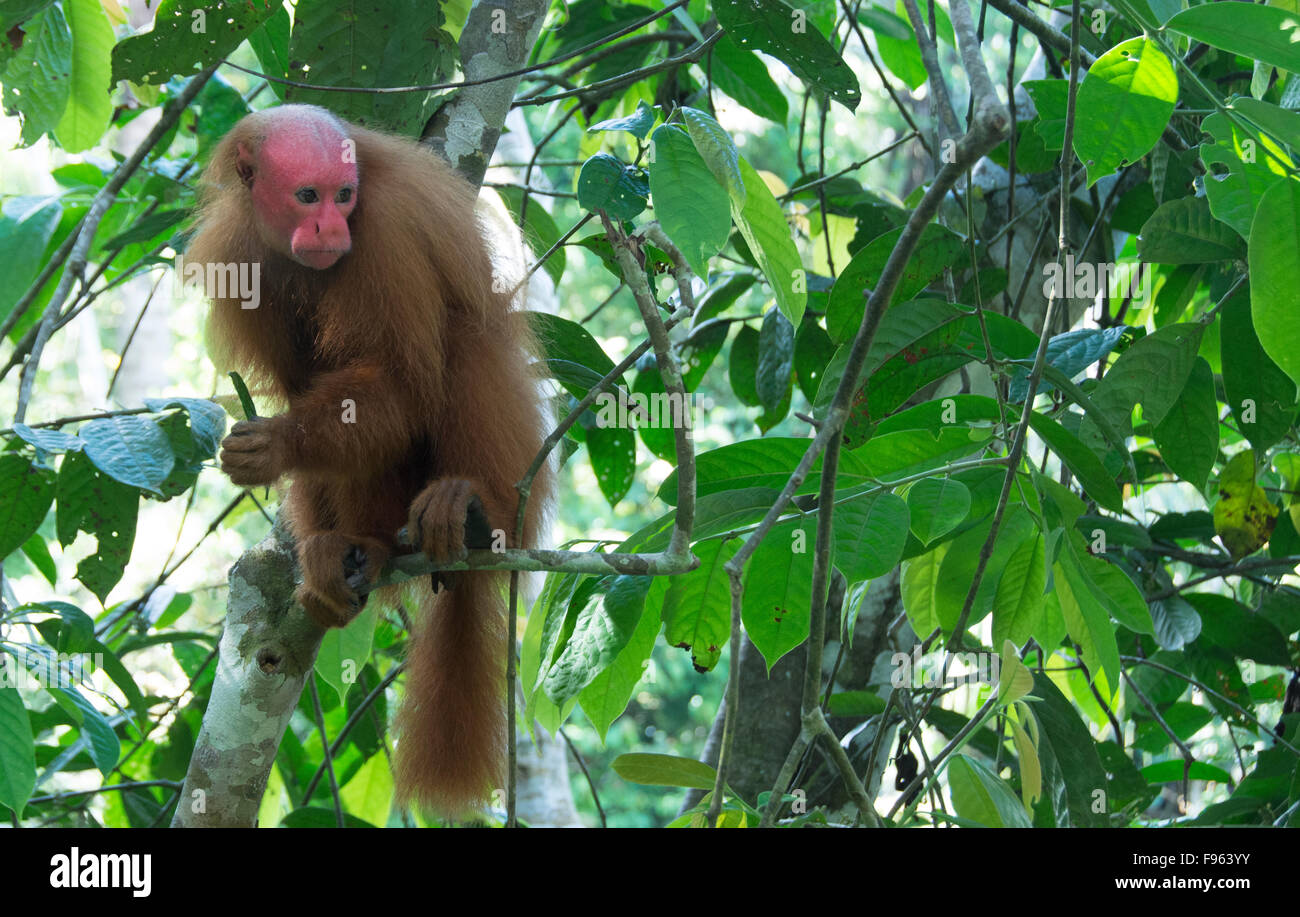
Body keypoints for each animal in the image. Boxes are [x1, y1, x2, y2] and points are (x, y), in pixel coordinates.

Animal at [185, 104, 551, 818]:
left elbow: (397, 384)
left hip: (517, 471)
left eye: (344, 196)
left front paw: (275, 445)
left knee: (463, 342)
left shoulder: (388, 235)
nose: (331, 227)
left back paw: (474, 516)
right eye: (308, 196)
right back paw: (356, 549)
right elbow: (312, 391)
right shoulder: (239, 255)